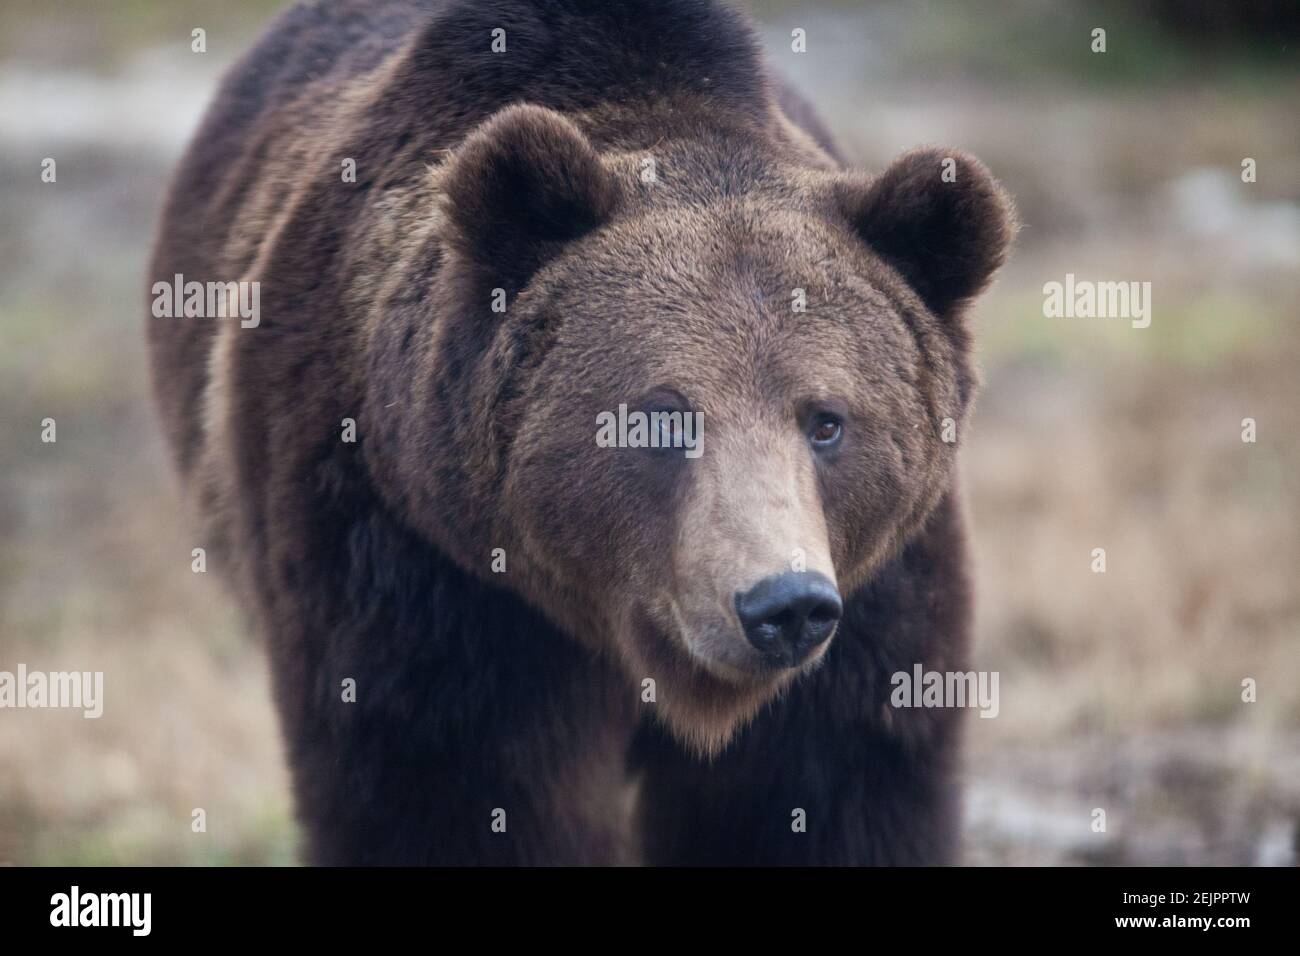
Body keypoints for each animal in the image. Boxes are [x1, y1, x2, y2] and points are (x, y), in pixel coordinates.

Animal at [148, 0, 1013, 865]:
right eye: (662, 413)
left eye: (827, 420)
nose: (783, 603)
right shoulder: (414, 561)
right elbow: (445, 790)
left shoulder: (872, 598)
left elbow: (826, 795)